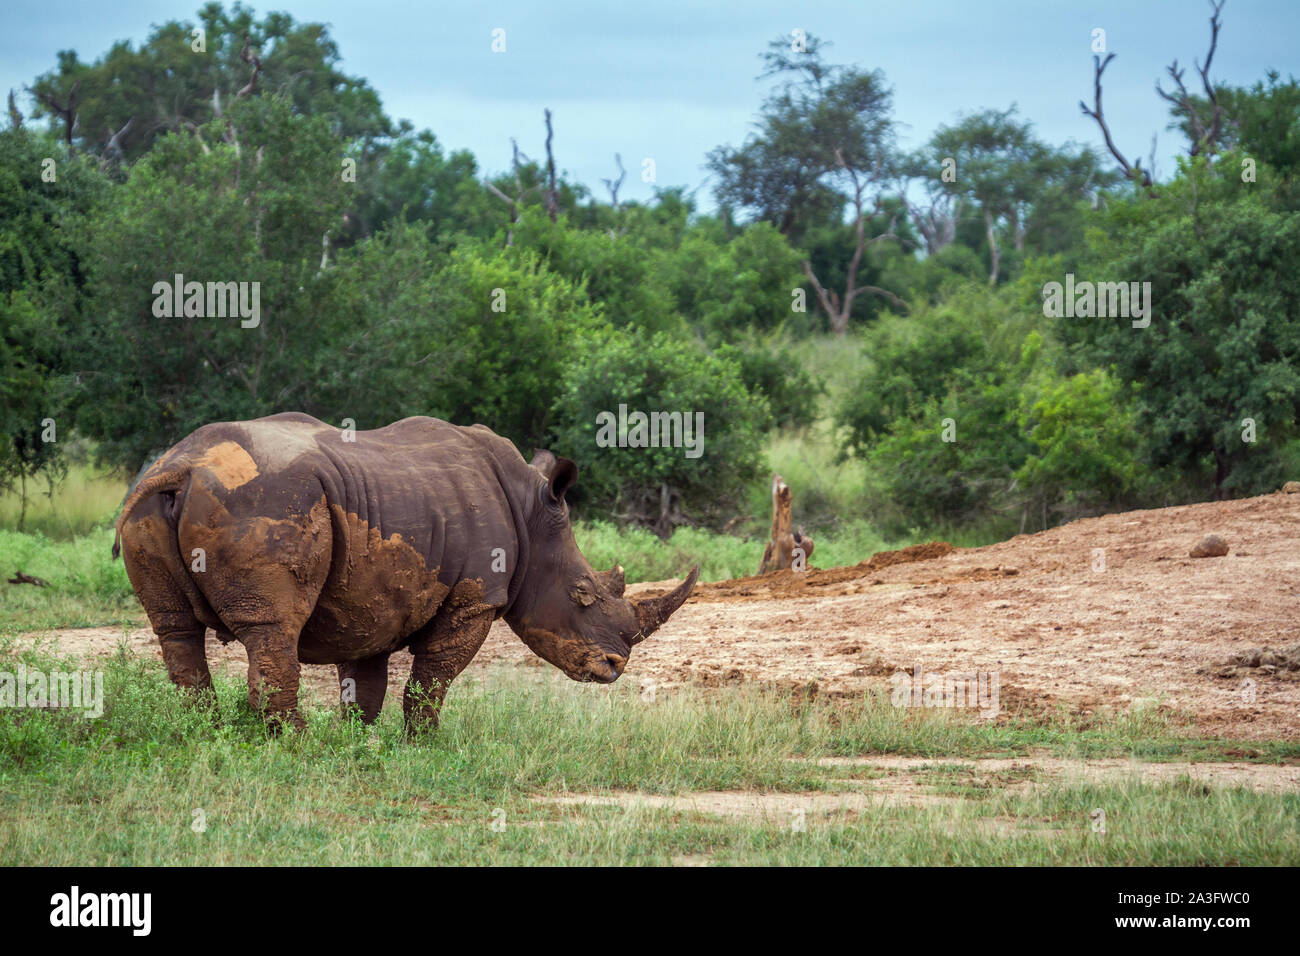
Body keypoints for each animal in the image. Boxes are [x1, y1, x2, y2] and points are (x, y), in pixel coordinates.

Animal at [112, 412, 697, 732]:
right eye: (581, 593)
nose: (613, 667)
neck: (533, 518)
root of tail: (183, 465)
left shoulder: (368, 593)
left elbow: (365, 676)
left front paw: (355, 739)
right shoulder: (475, 599)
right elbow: (433, 678)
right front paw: (425, 742)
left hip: (161, 506)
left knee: (176, 629)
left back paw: (207, 728)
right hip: (265, 498)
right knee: (273, 628)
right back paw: (293, 742)